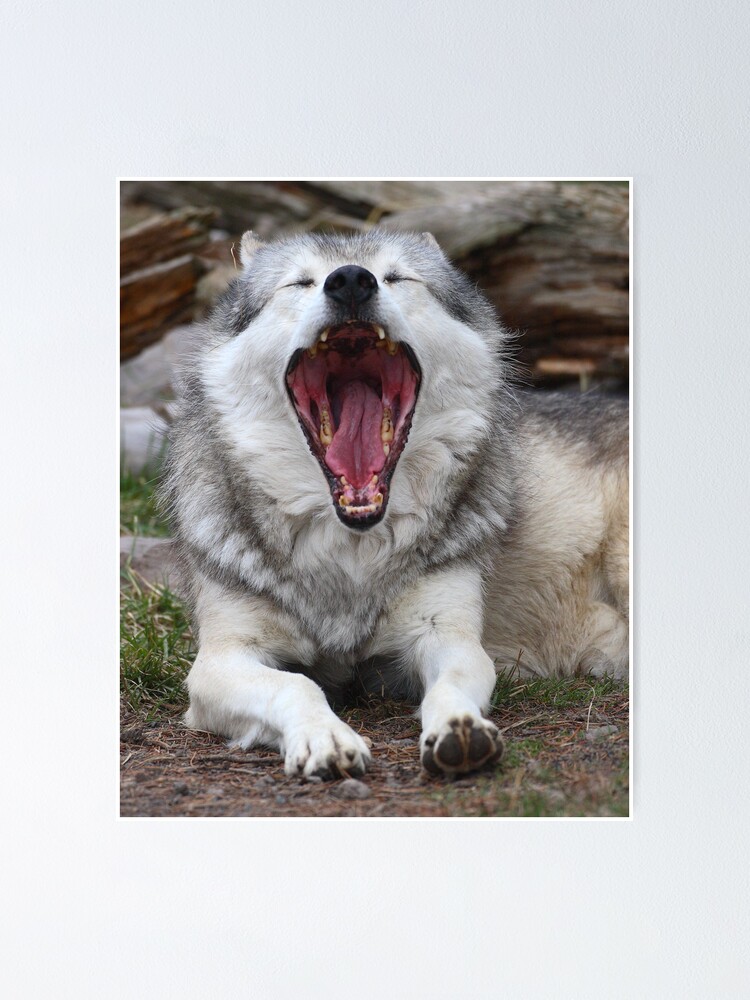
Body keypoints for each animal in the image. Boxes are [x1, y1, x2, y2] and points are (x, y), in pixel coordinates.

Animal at [161, 229, 629, 780]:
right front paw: (324, 737)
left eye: (396, 277)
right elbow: (298, 683)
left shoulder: (449, 637)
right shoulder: (219, 661)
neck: (350, 552)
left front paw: (459, 729)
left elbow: (449, 686)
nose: (350, 280)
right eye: (300, 282)